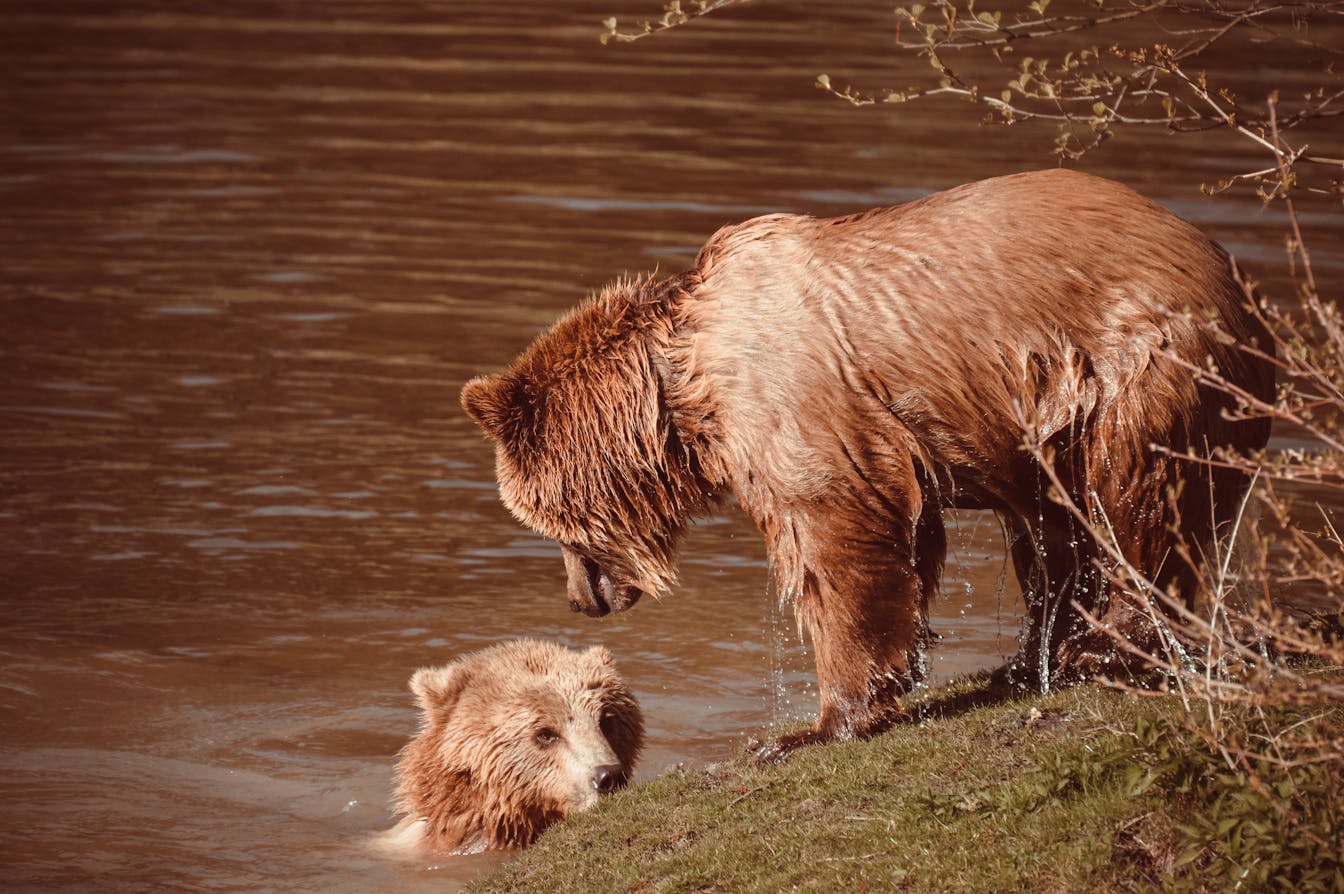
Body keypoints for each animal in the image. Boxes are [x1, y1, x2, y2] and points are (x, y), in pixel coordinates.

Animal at [460, 169, 1275, 760]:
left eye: (541, 520)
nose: (580, 599)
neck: (681, 391)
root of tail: (1240, 279)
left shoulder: (800, 403)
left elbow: (836, 538)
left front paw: (809, 727)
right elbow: (912, 540)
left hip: (1138, 363)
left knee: (1134, 502)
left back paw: (1102, 650)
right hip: (1051, 419)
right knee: (1054, 530)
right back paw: (1028, 660)